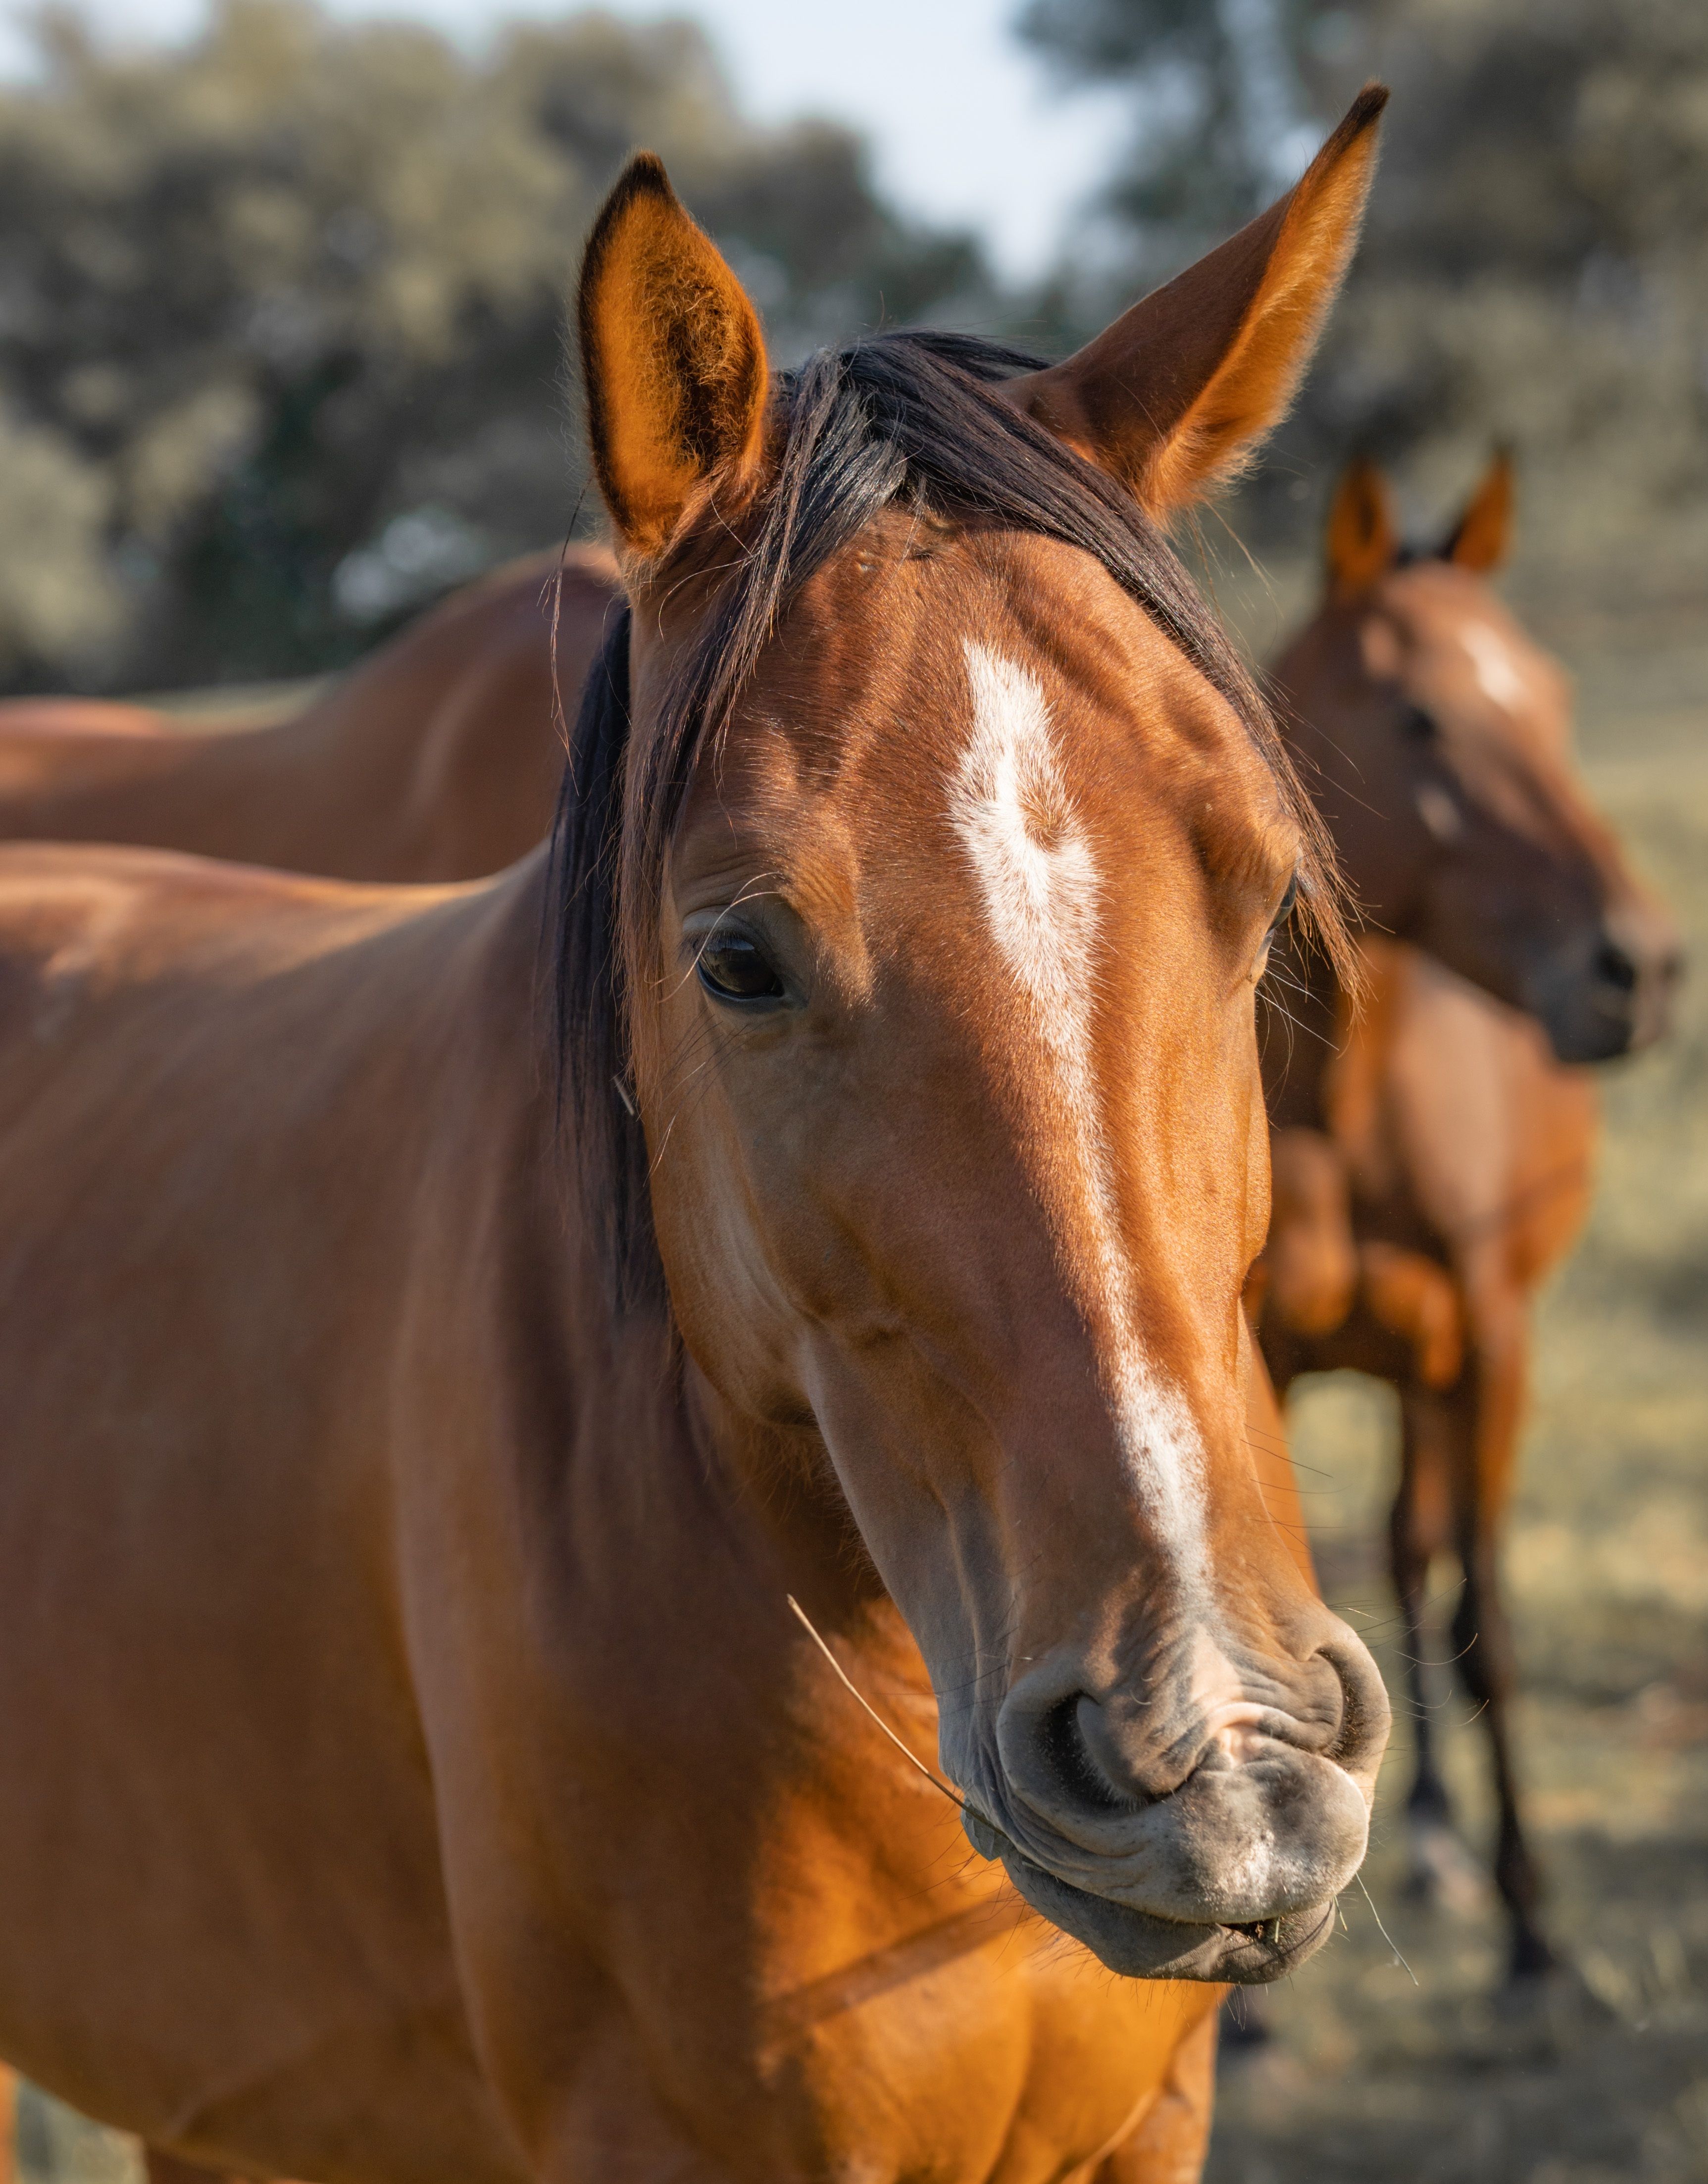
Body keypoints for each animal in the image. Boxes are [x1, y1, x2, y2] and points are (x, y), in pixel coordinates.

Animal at [1254, 451, 1682, 1982]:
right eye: (1419, 714)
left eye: (1549, 697)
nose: (1637, 965)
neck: (1337, 1116)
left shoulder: (1489, 1345)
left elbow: (1485, 1623)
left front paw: (1533, 1931)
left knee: (1419, 1545)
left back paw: (1443, 1841)